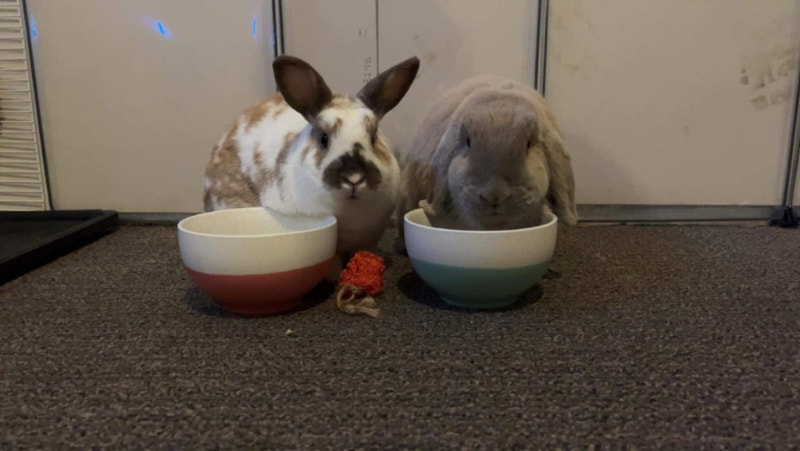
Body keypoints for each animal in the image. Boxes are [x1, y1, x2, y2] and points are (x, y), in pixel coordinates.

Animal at [203, 55, 420, 273]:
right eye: (323, 139)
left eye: (374, 137)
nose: (354, 177)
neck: (349, 212)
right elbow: (333, 264)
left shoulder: (369, 239)